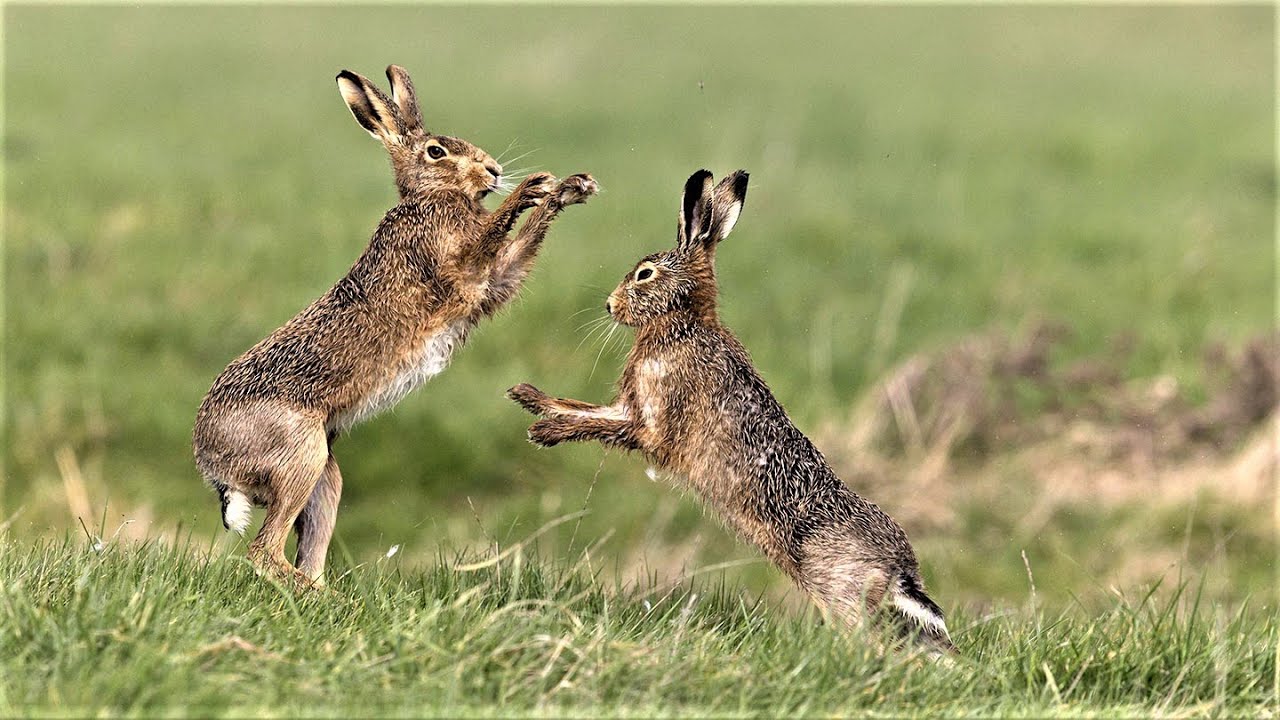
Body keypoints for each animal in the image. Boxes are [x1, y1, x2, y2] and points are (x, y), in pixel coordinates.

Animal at [193, 65, 598, 588]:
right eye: (437, 152)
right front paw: (531, 187)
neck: (431, 197)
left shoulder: (492, 284)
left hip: (325, 477)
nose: (492, 170)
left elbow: (517, 249)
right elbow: (492, 232)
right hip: (300, 456)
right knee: (263, 551)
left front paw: (570, 187)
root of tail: (212, 464)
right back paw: (329, 598)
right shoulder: (458, 268)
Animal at [508, 169, 955, 653]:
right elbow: (586, 409)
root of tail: (901, 568)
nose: (610, 305)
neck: (682, 324)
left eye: (645, 274)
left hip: (839, 589)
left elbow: (599, 425)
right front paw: (527, 397)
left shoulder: (654, 424)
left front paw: (546, 432)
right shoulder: (631, 407)